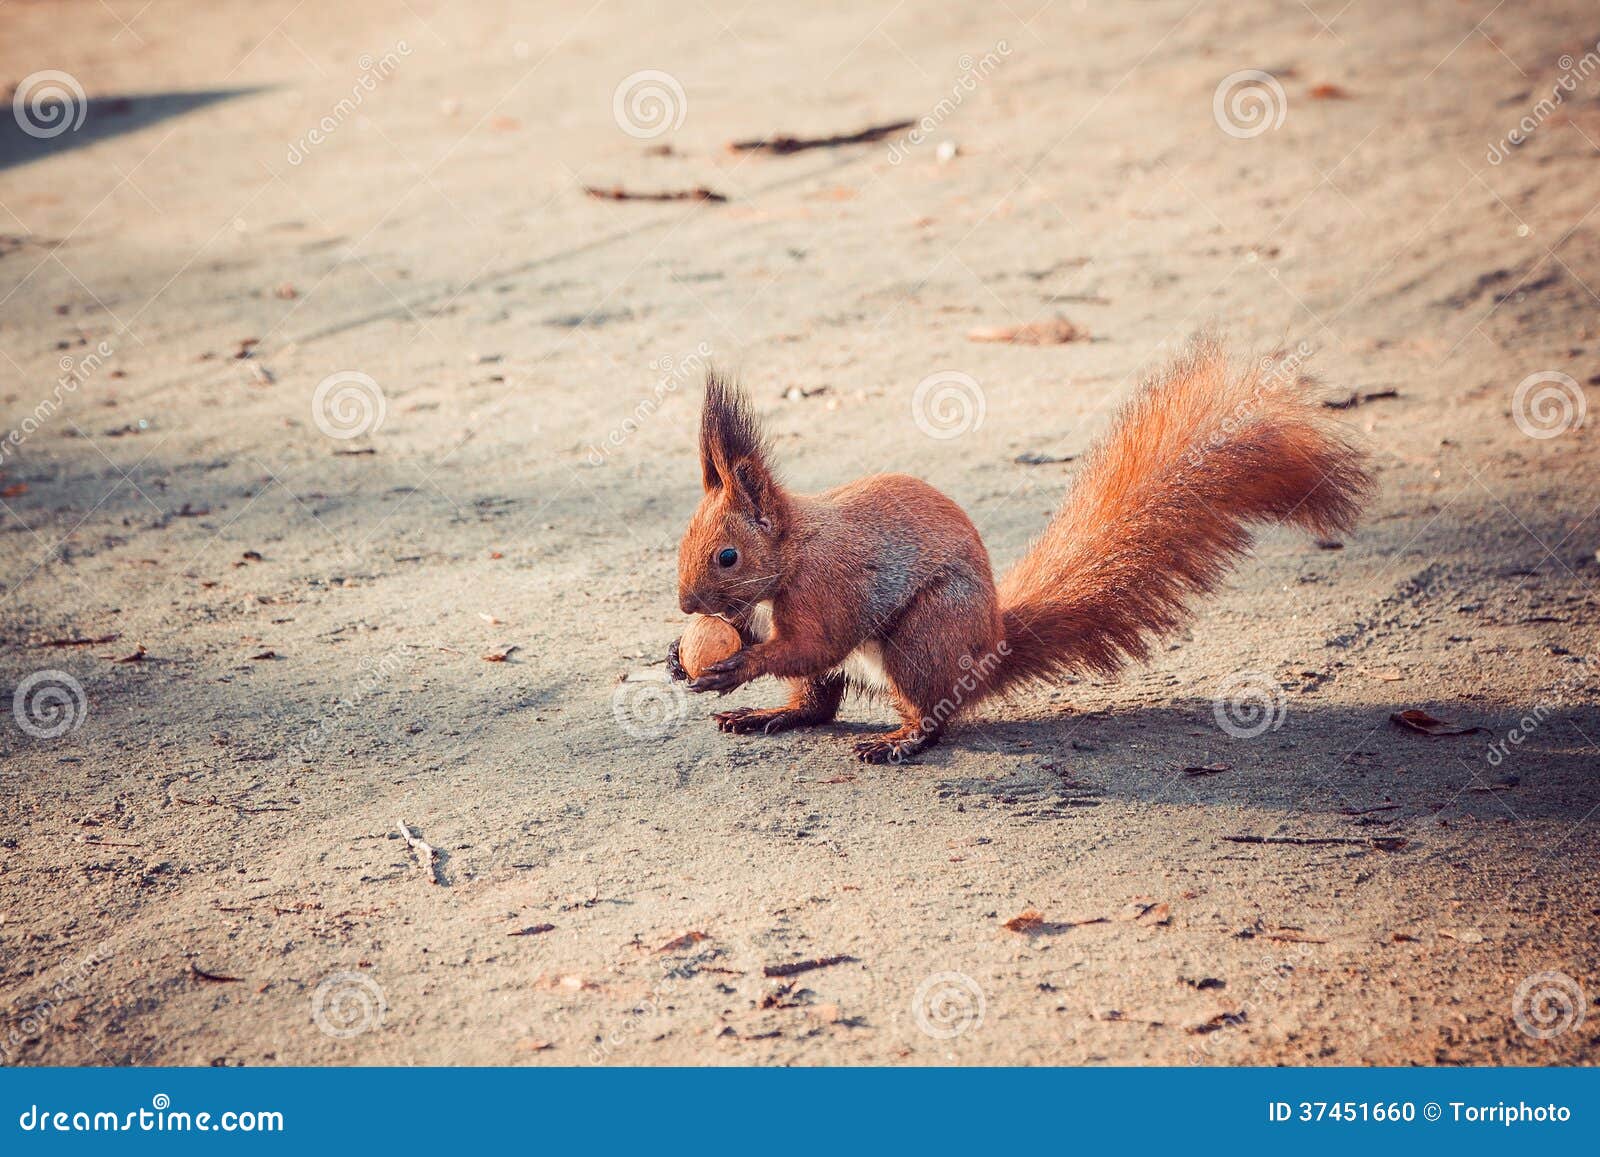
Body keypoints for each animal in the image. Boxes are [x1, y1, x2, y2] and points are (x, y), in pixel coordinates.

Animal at [667, 334, 1371, 764]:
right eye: (683, 541)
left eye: (727, 556)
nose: (685, 604)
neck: (791, 552)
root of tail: (990, 648)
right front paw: (679, 660)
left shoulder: (828, 586)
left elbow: (813, 643)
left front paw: (735, 665)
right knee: (818, 703)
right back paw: (769, 717)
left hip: (925, 636)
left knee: (929, 712)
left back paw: (899, 742)